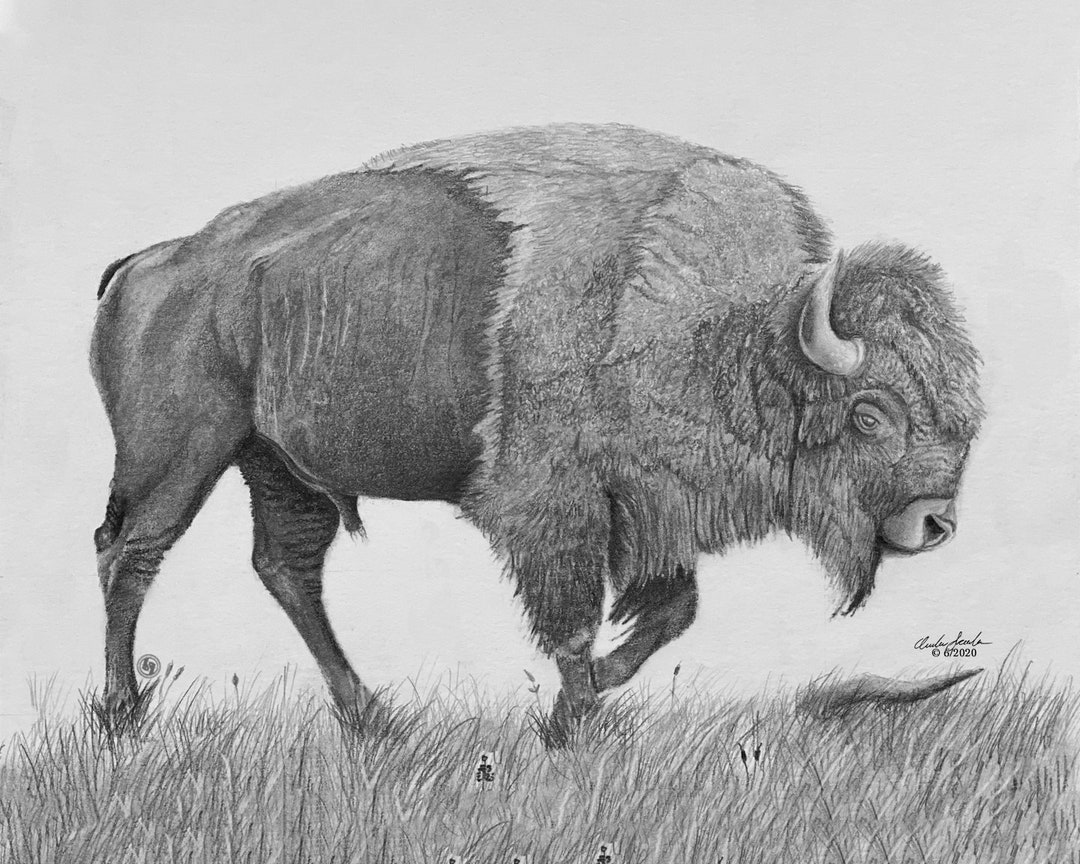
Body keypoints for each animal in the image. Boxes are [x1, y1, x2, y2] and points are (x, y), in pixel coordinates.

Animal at [91, 124, 983, 731]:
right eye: (870, 413)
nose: (935, 523)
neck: (717, 329)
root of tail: (148, 263)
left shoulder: (648, 512)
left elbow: (672, 613)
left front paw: (577, 710)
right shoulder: (555, 510)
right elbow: (575, 623)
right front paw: (573, 723)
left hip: (276, 463)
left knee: (286, 568)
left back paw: (372, 719)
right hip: (178, 456)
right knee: (128, 556)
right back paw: (125, 717)